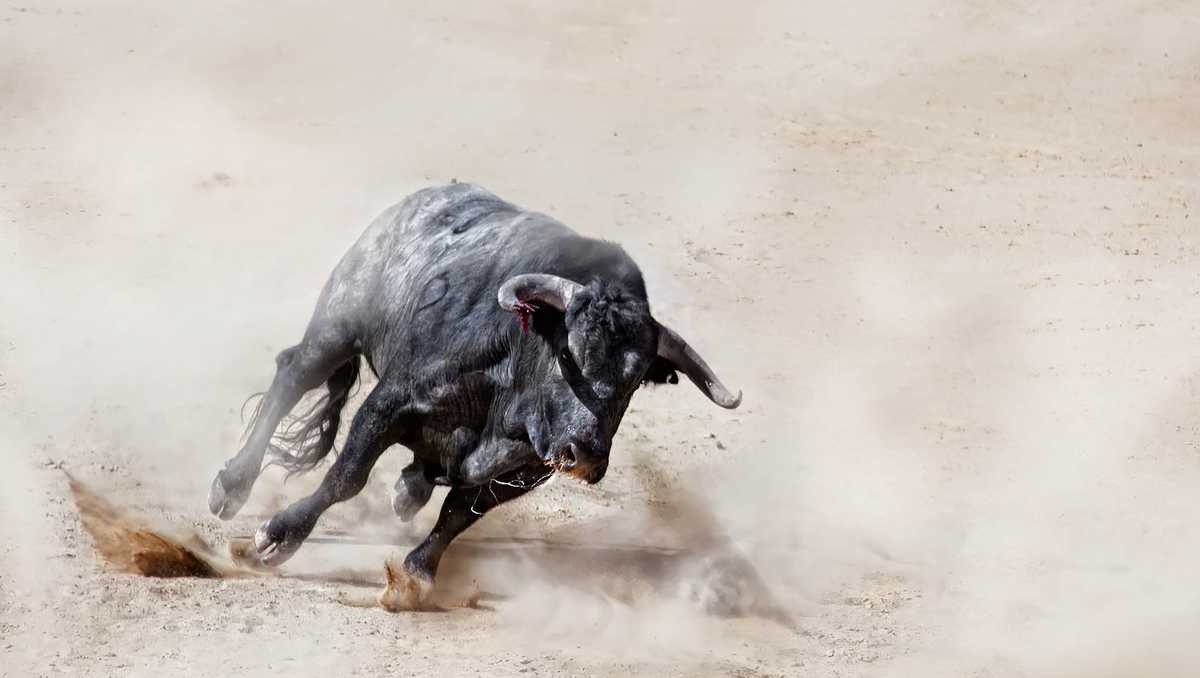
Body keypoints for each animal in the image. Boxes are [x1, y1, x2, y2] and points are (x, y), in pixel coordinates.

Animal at [207, 183, 741, 603]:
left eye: (634, 378)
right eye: (569, 352)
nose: (586, 454)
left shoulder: (524, 471)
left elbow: (458, 513)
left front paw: (415, 577)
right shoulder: (390, 403)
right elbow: (346, 477)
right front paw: (276, 537)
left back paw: (409, 488)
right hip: (339, 324)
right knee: (293, 374)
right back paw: (231, 485)